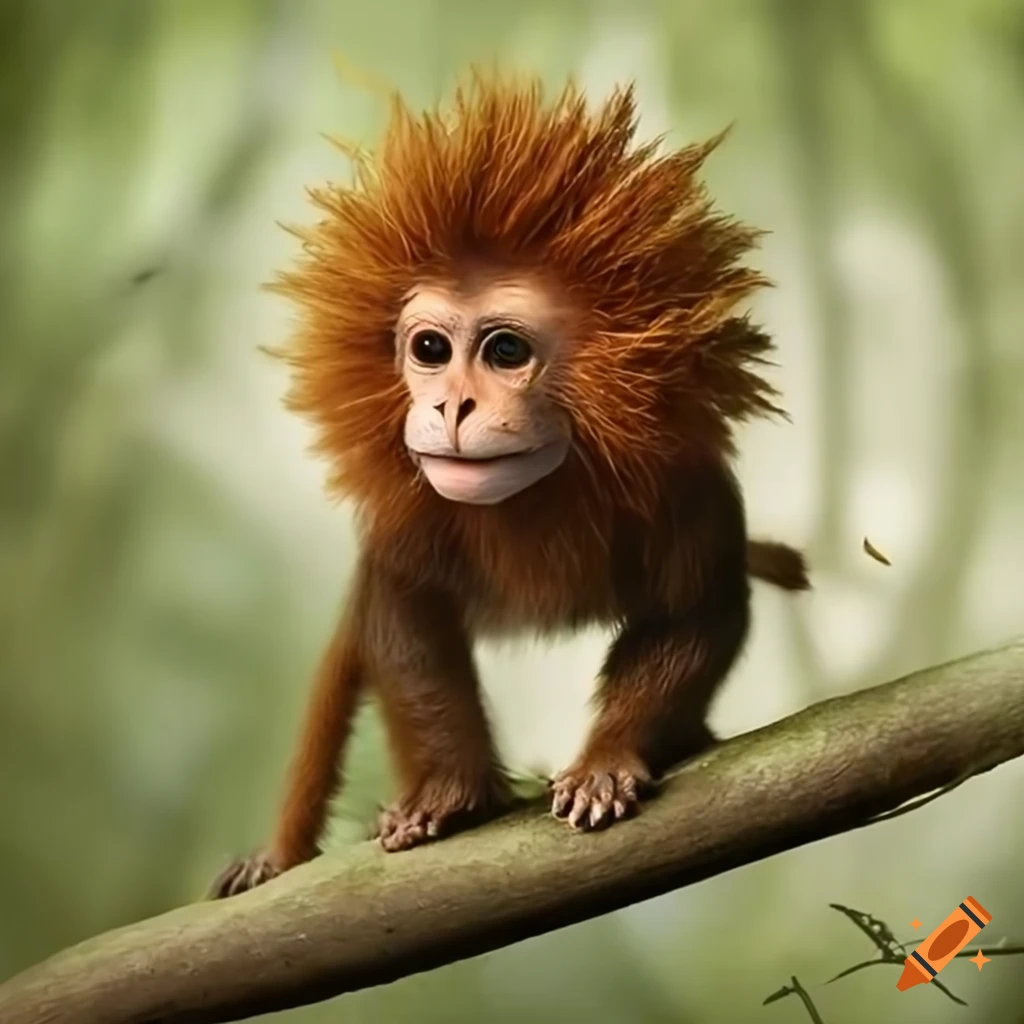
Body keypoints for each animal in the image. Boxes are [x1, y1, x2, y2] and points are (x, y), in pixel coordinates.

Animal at [210, 71, 810, 898]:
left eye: (504, 353)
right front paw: (450, 795)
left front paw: (604, 763)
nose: (451, 407)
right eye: (431, 350)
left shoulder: (687, 489)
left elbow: (693, 613)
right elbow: (401, 615)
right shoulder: (406, 509)